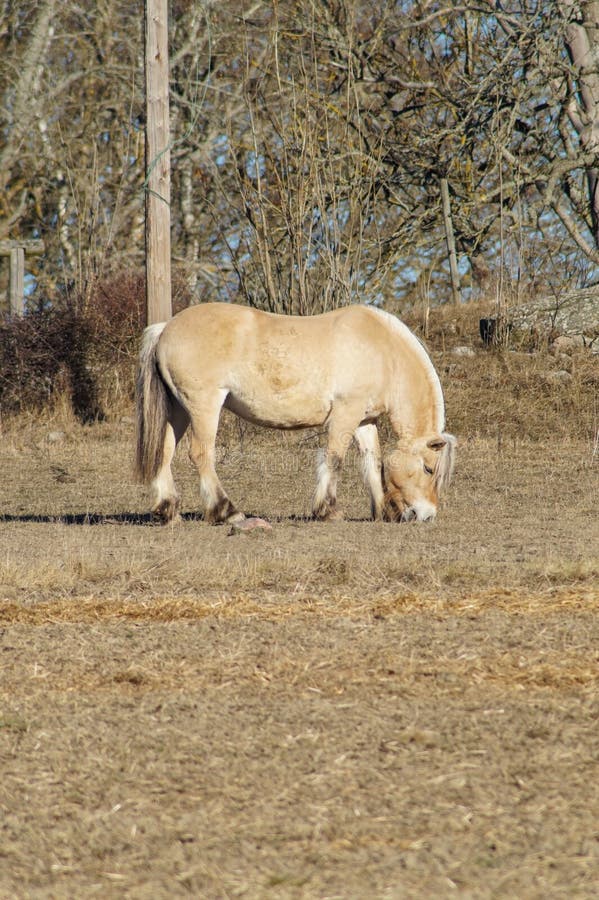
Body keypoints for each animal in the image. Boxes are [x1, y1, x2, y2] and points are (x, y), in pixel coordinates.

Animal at [135, 302, 456, 524]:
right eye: (429, 468)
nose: (427, 515)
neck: (383, 350)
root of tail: (165, 328)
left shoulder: (364, 419)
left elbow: (372, 463)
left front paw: (382, 512)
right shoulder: (345, 413)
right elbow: (334, 458)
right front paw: (327, 511)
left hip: (178, 410)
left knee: (165, 452)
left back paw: (168, 510)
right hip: (204, 407)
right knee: (201, 454)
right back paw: (227, 511)